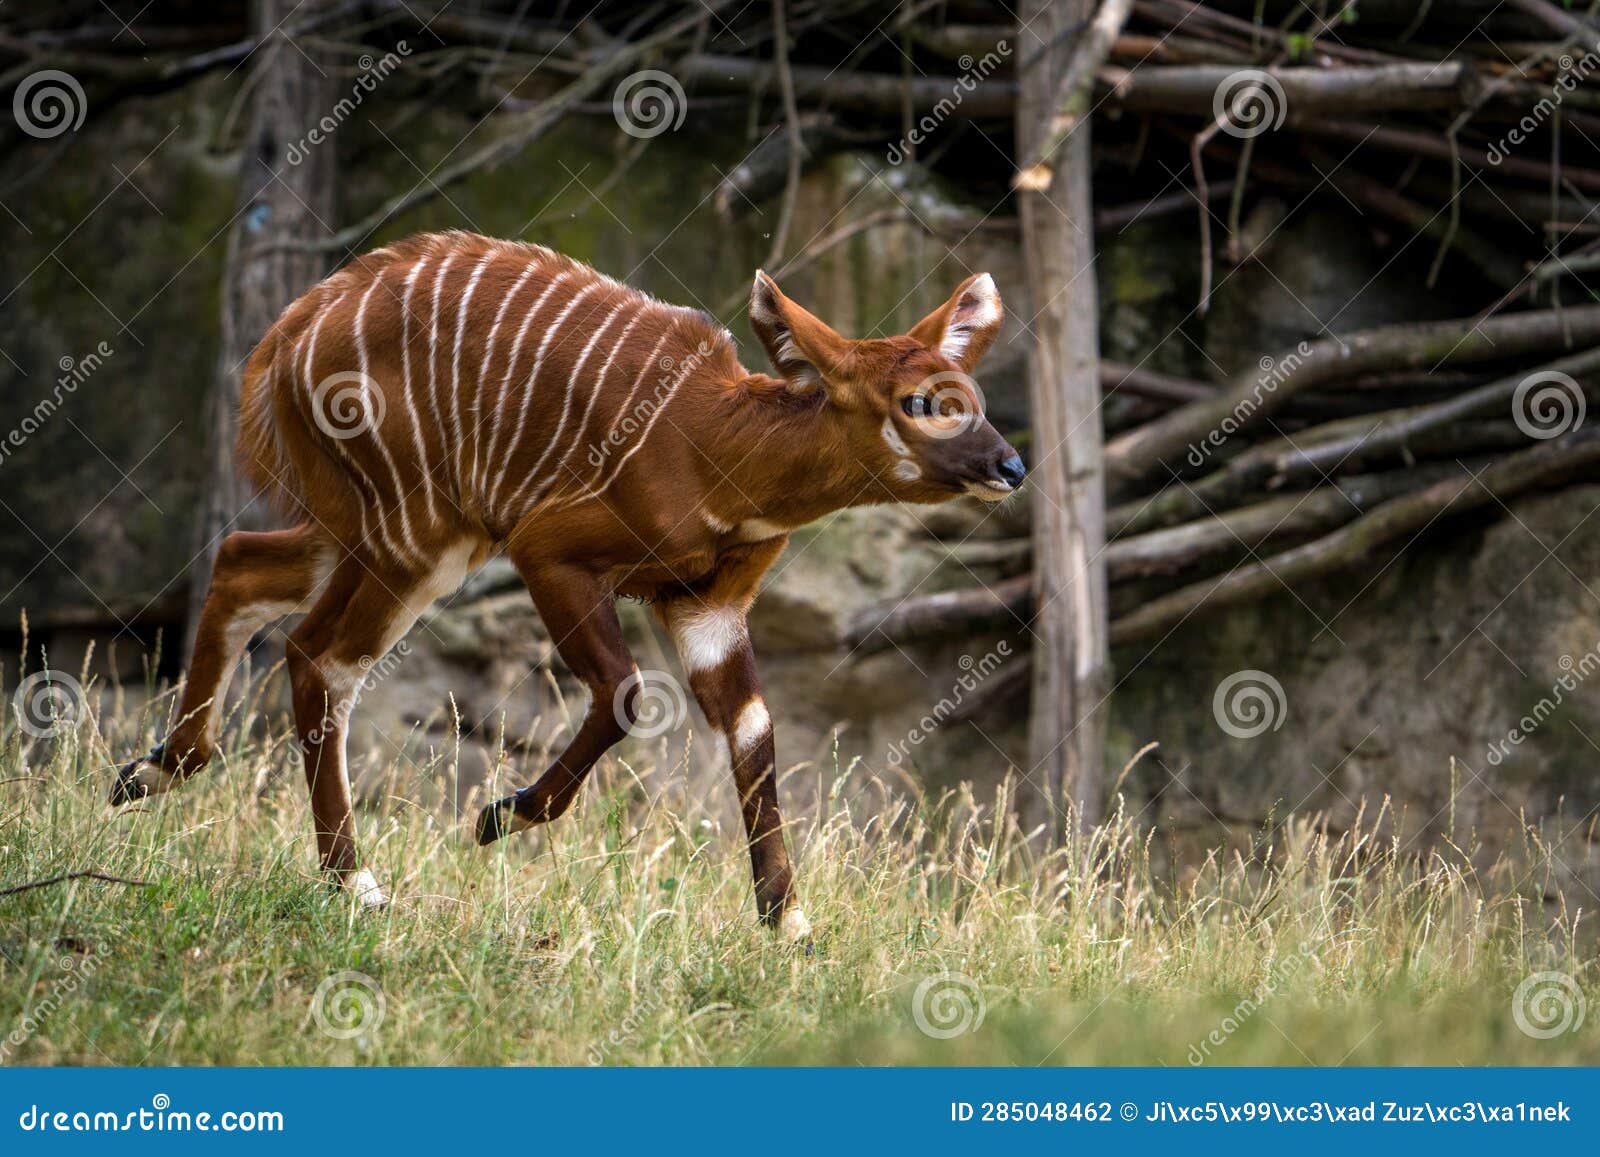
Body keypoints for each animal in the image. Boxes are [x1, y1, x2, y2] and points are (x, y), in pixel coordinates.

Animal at [111, 230, 1023, 939]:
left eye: (972, 394)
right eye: (920, 401)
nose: (1010, 466)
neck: (715, 444)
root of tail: (286, 335)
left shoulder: (709, 604)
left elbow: (754, 727)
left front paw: (790, 925)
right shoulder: (548, 548)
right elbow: (625, 692)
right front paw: (497, 815)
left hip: (379, 530)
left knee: (247, 568)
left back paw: (152, 771)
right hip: (416, 533)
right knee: (323, 654)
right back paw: (357, 884)